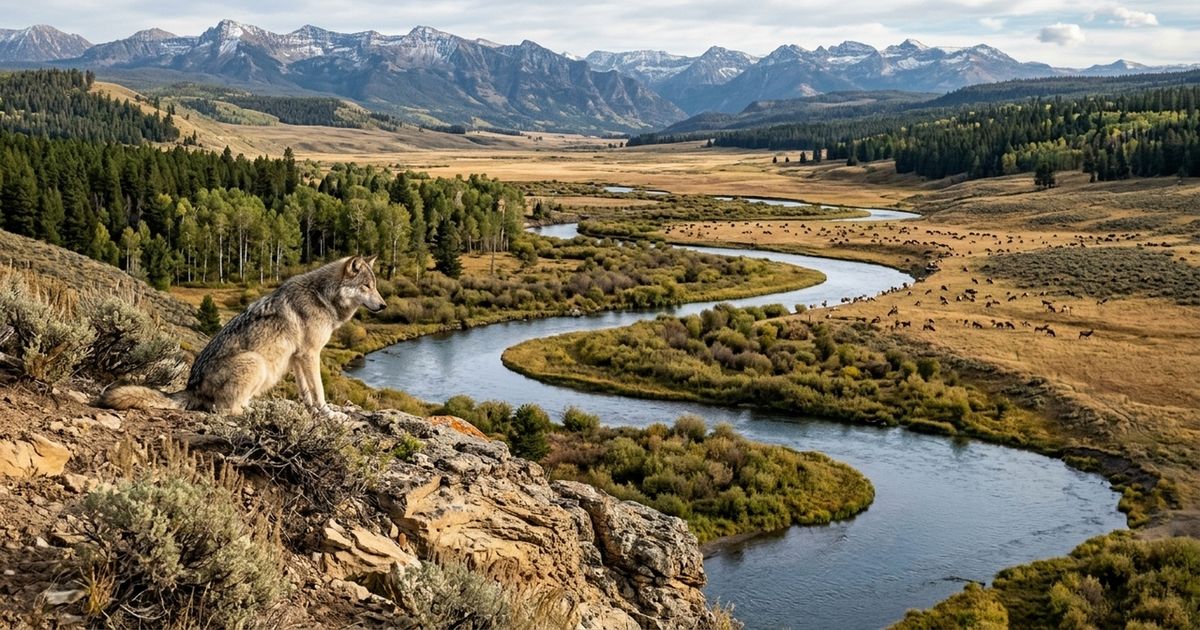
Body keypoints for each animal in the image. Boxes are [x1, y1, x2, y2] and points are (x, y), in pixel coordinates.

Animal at [100, 255, 386, 417]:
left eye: (375, 287)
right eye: (366, 286)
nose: (383, 306)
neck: (322, 296)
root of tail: (191, 387)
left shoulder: (297, 358)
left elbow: (306, 392)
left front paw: (312, 412)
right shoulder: (310, 355)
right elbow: (320, 391)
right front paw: (329, 414)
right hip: (257, 363)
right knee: (224, 410)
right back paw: (252, 412)